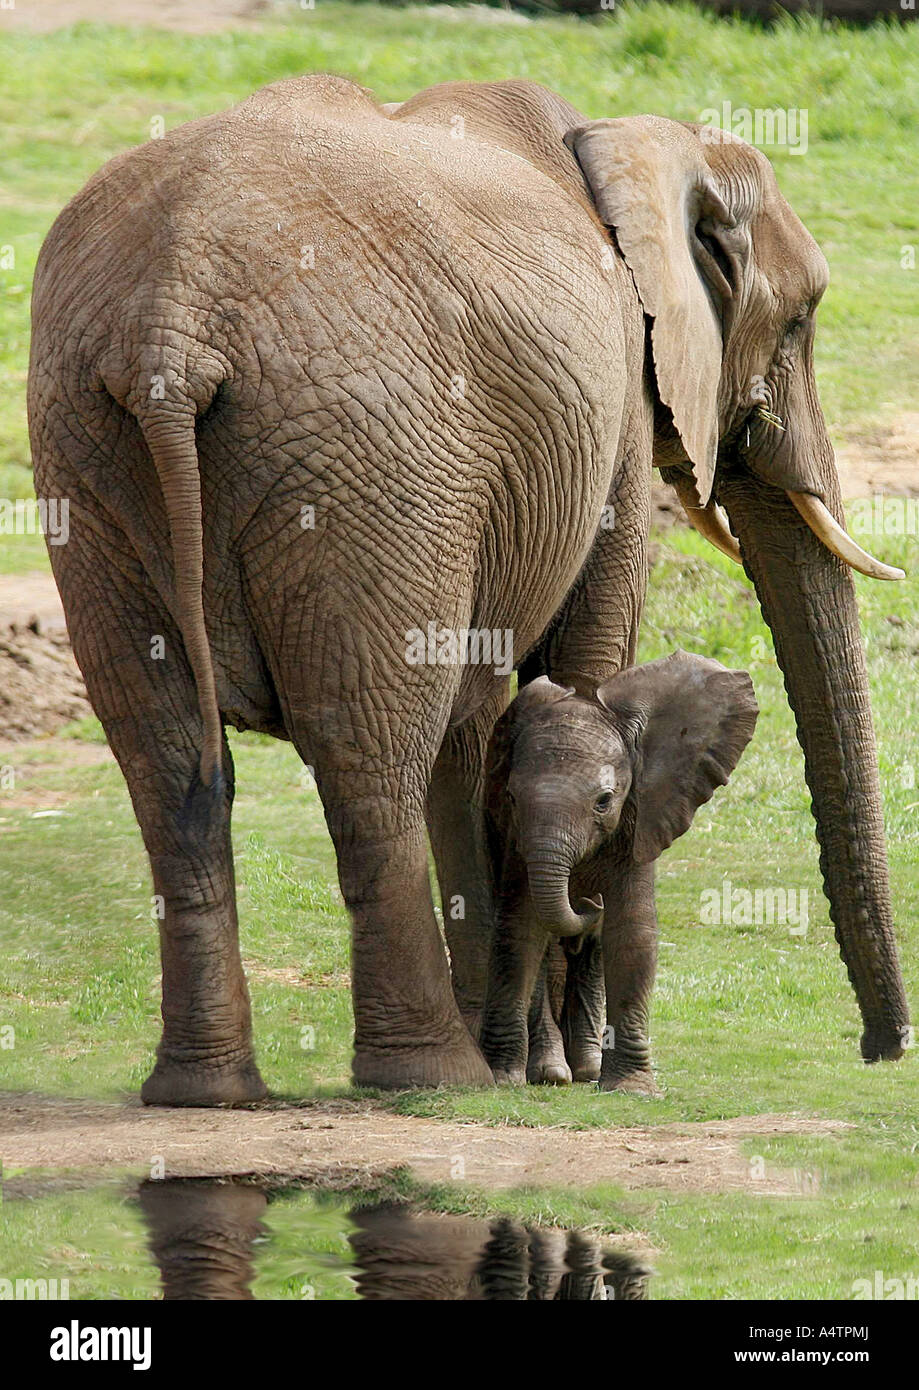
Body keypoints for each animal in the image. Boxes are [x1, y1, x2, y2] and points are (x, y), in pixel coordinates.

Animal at [479, 653, 758, 1091]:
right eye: (511, 797)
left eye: (604, 801)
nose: (588, 900)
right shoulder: (513, 835)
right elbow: (518, 930)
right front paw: (502, 1078)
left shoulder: (641, 816)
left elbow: (632, 932)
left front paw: (630, 1088)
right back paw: (552, 1072)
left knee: (594, 947)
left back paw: (587, 1068)